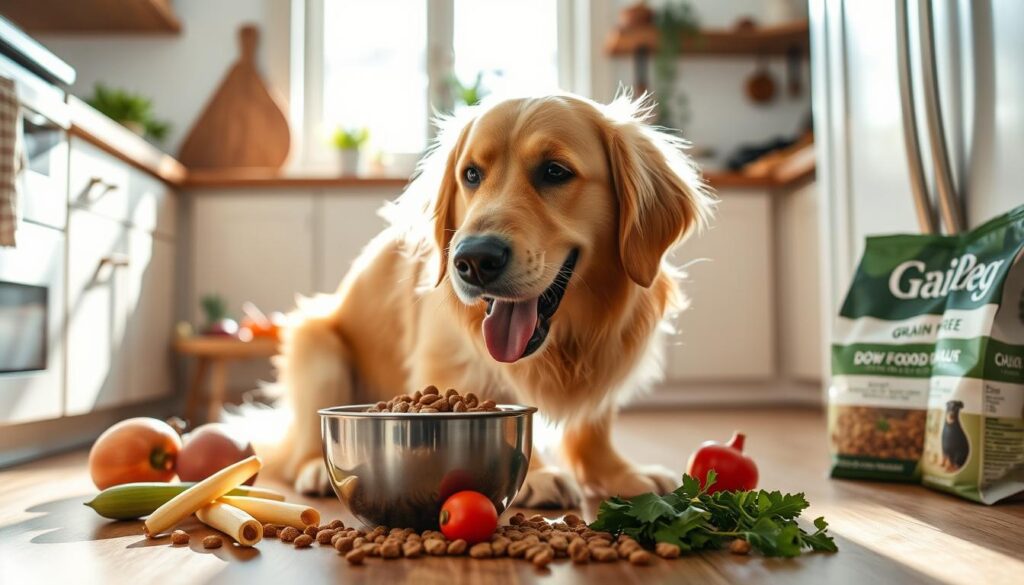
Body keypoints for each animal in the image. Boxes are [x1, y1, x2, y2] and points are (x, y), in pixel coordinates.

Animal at [272, 92, 712, 508]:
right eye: (471, 174)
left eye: (555, 171)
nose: (473, 261)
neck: (566, 337)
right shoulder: (450, 362)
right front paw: (538, 474)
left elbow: (593, 424)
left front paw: (621, 474)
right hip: (317, 344)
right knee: (300, 443)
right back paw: (314, 467)